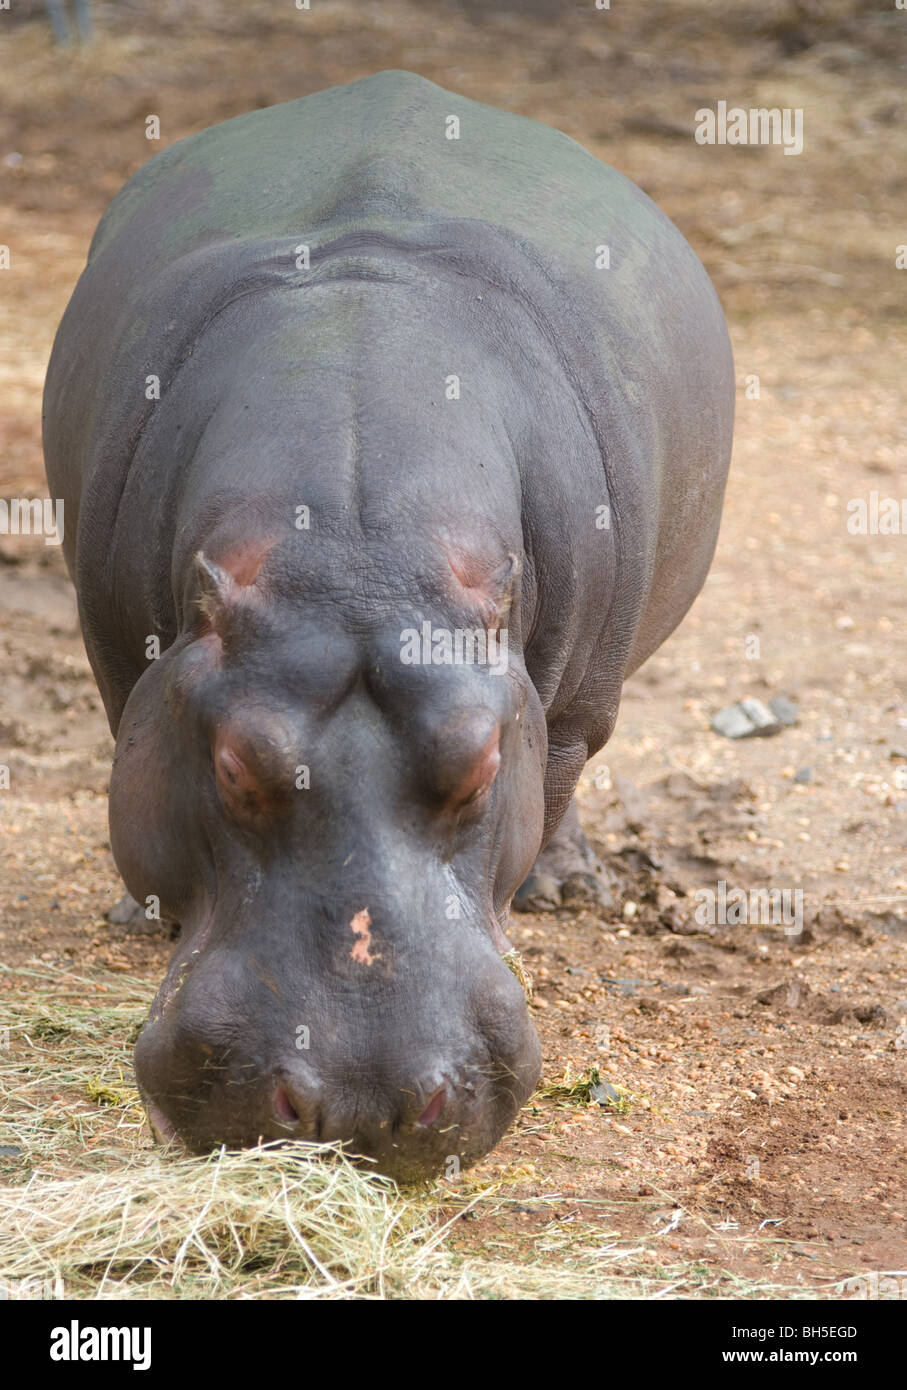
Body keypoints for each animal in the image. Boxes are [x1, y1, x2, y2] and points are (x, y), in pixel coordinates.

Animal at [43, 71, 733, 1181]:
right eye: (234, 764)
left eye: (482, 765)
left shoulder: (555, 713)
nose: (360, 1105)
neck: (356, 554)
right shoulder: (121, 654)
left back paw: (568, 885)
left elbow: (552, 782)